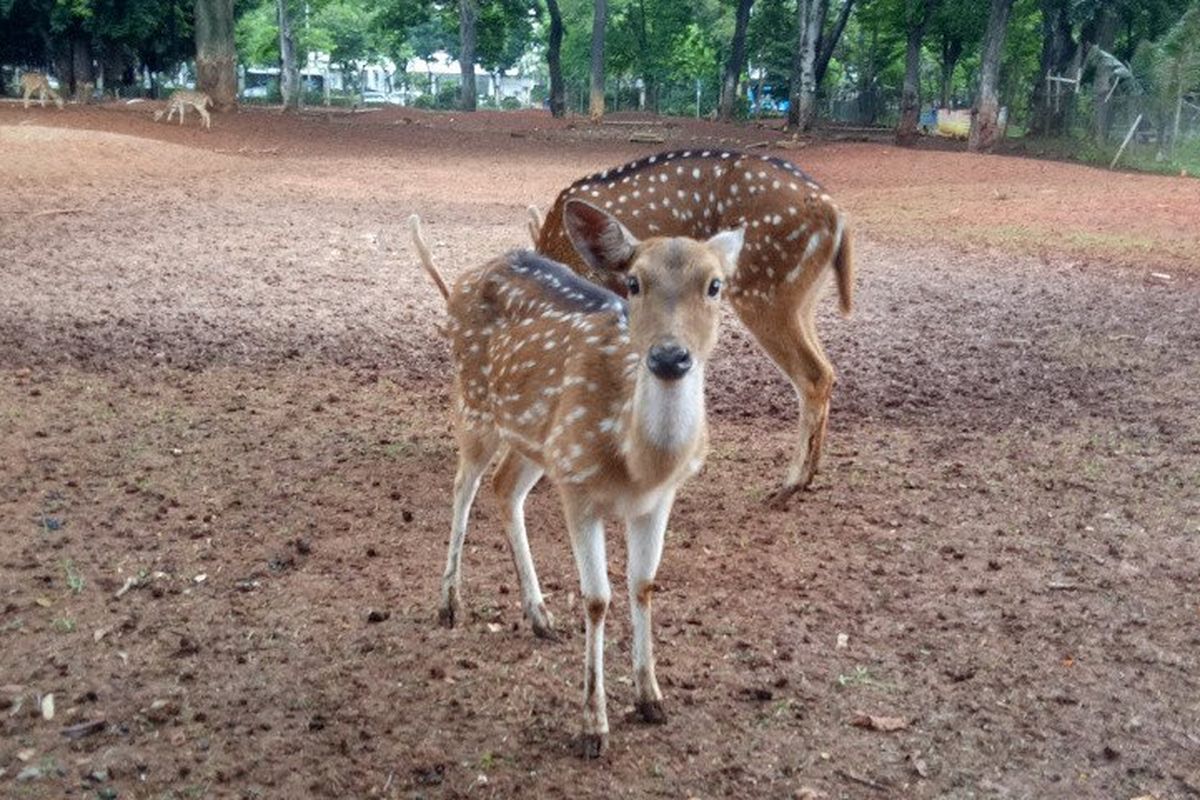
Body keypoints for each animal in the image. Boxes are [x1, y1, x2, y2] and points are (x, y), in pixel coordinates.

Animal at [412, 205, 748, 758]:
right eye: (633, 282)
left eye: (715, 285)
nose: (669, 357)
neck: (640, 464)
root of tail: (462, 279)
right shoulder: (578, 487)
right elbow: (597, 598)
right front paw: (594, 725)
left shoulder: (659, 499)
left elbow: (642, 584)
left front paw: (651, 698)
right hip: (475, 403)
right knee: (463, 486)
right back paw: (449, 604)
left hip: (535, 440)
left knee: (505, 487)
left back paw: (539, 616)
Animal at [532, 149, 854, 503]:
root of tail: (835, 212)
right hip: (802, 299)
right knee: (826, 369)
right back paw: (808, 476)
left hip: (765, 291)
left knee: (813, 374)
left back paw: (790, 483)